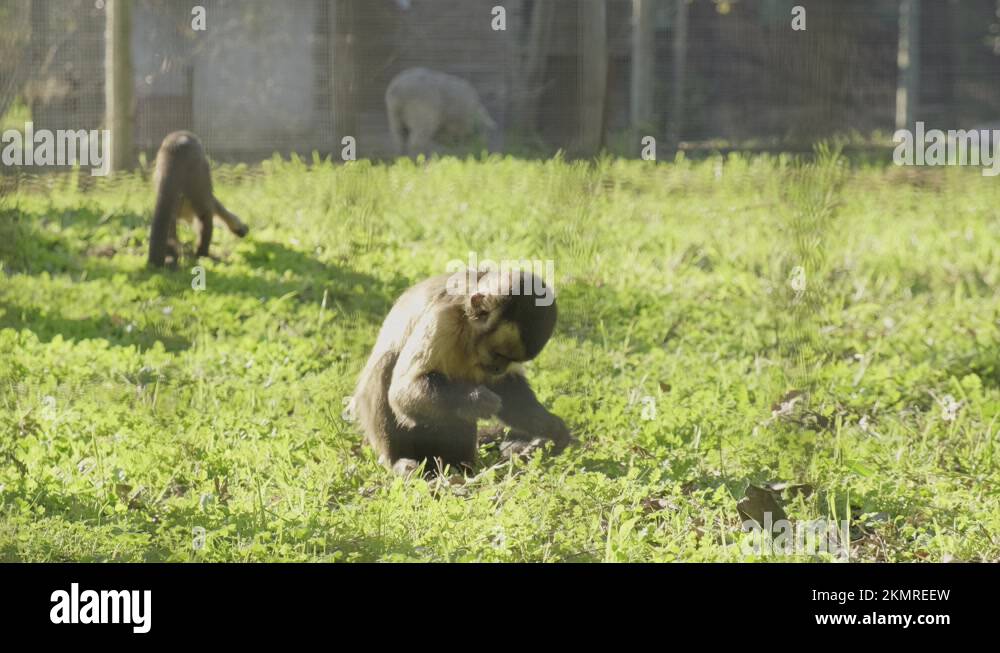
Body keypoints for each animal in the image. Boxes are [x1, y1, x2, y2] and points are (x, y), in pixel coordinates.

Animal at [352, 268, 570, 476]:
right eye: (498, 354)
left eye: (510, 360)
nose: (499, 368)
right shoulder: (444, 317)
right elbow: (402, 391)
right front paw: (477, 399)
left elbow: (505, 386)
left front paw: (550, 426)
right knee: (387, 364)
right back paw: (403, 462)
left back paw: (460, 467)